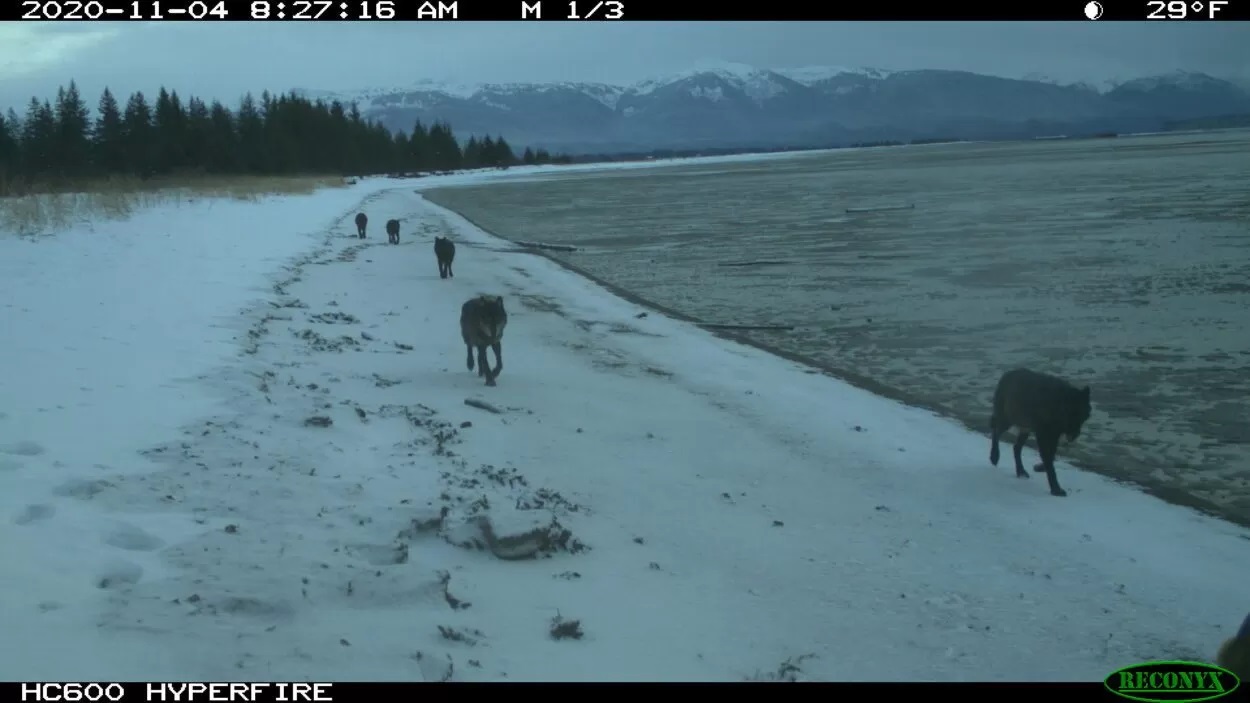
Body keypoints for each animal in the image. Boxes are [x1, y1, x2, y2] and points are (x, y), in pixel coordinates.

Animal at [988, 368, 1091, 497]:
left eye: (1081, 414)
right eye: (1070, 413)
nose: (1074, 434)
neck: (1055, 404)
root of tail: (1006, 375)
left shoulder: (1054, 435)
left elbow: (1052, 454)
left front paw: (1040, 467)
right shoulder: (1042, 434)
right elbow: (1048, 458)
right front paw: (1056, 489)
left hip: (1025, 429)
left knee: (1016, 447)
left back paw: (1021, 471)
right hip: (1007, 420)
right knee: (995, 431)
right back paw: (994, 456)